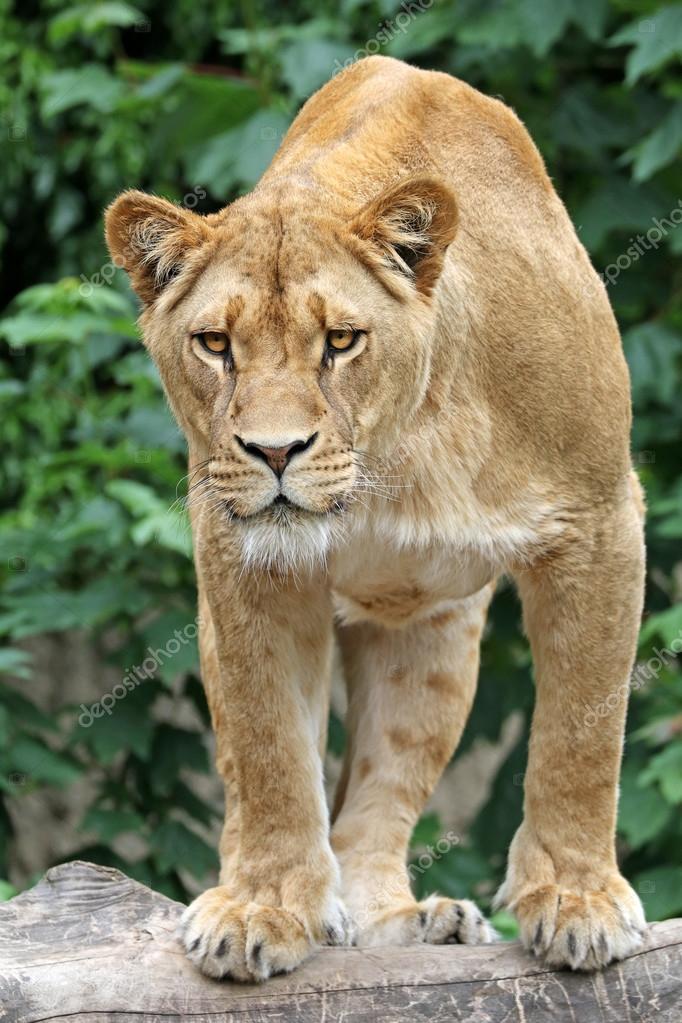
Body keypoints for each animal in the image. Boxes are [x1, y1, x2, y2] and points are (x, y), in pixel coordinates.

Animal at [105, 56, 647, 981]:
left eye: (341, 341)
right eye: (215, 344)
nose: (274, 451)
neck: (396, 458)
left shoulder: (601, 517)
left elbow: (583, 729)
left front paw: (578, 899)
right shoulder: (242, 557)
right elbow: (270, 749)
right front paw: (263, 906)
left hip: (439, 646)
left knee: (381, 794)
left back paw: (407, 921)